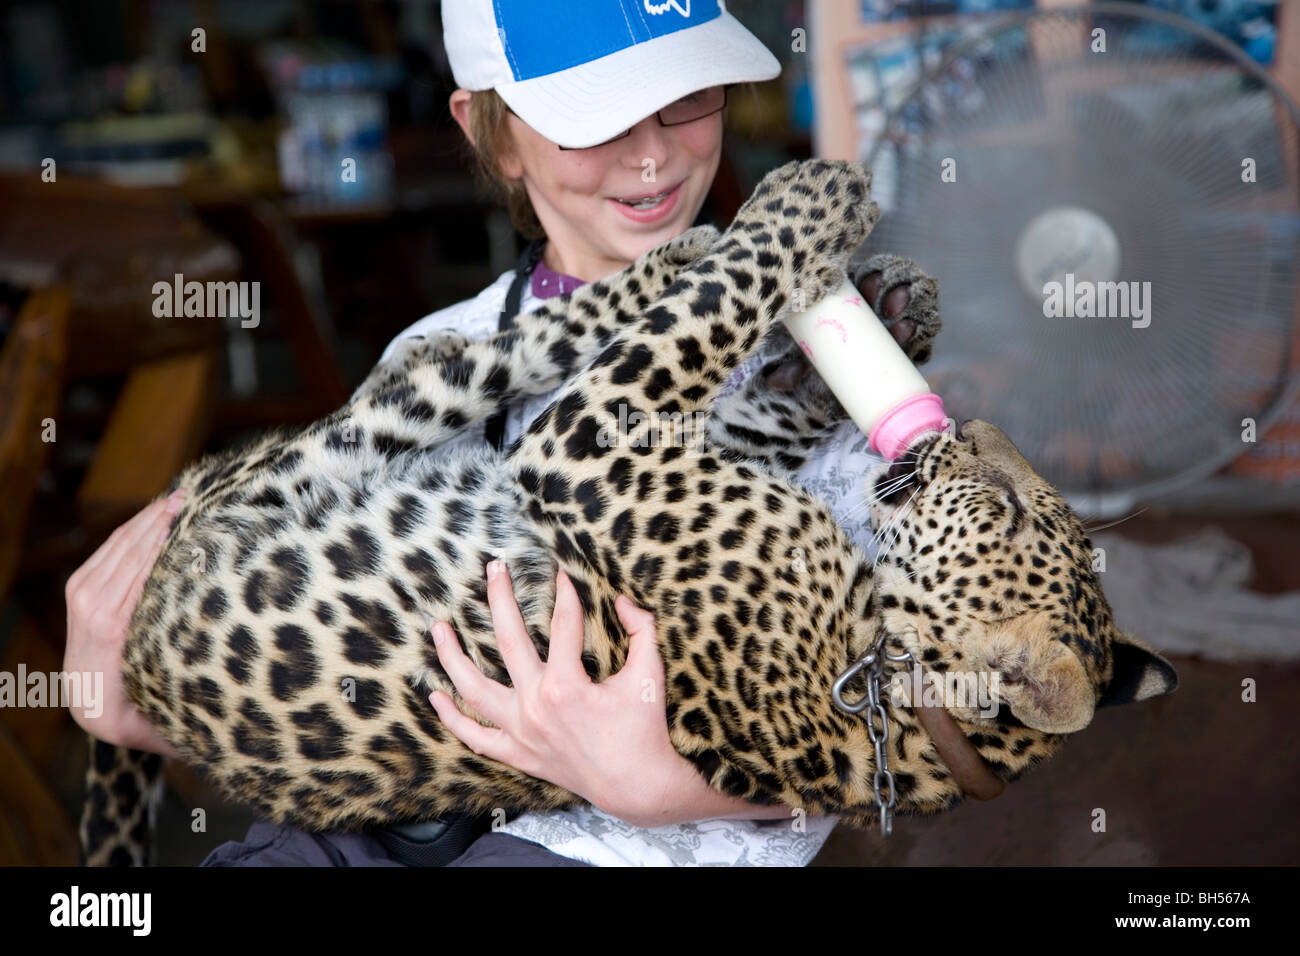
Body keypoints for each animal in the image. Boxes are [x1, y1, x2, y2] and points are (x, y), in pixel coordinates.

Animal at [80, 158, 1176, 866]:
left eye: (1002, 501)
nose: (964, 424)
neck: (886, 684)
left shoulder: (591, 453)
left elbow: (707, 315)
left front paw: (803, 211)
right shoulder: (692, 455)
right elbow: (753, 389)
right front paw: (889, 311)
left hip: (364, 434)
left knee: (513, 346)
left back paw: (696, 239)